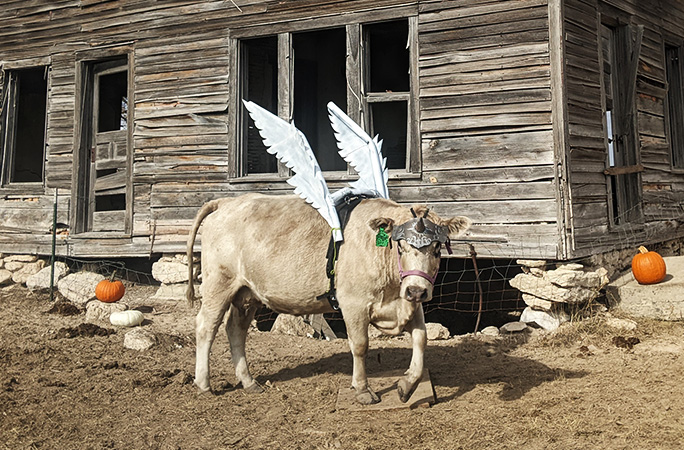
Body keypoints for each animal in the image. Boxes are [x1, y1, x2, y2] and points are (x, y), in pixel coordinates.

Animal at [186, 193, 471, 404]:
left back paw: (248, 381)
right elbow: (360, 345)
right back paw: (203, 383)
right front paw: (363, 390)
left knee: (235, 329)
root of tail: (226, 202)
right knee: (206, 327)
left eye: (437, 248)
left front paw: (406, 385)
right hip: (218, 284)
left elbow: (421, 339)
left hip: (246, 293)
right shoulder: (354, 303)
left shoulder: (406, 302)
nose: (417, 291)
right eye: (400, 246)